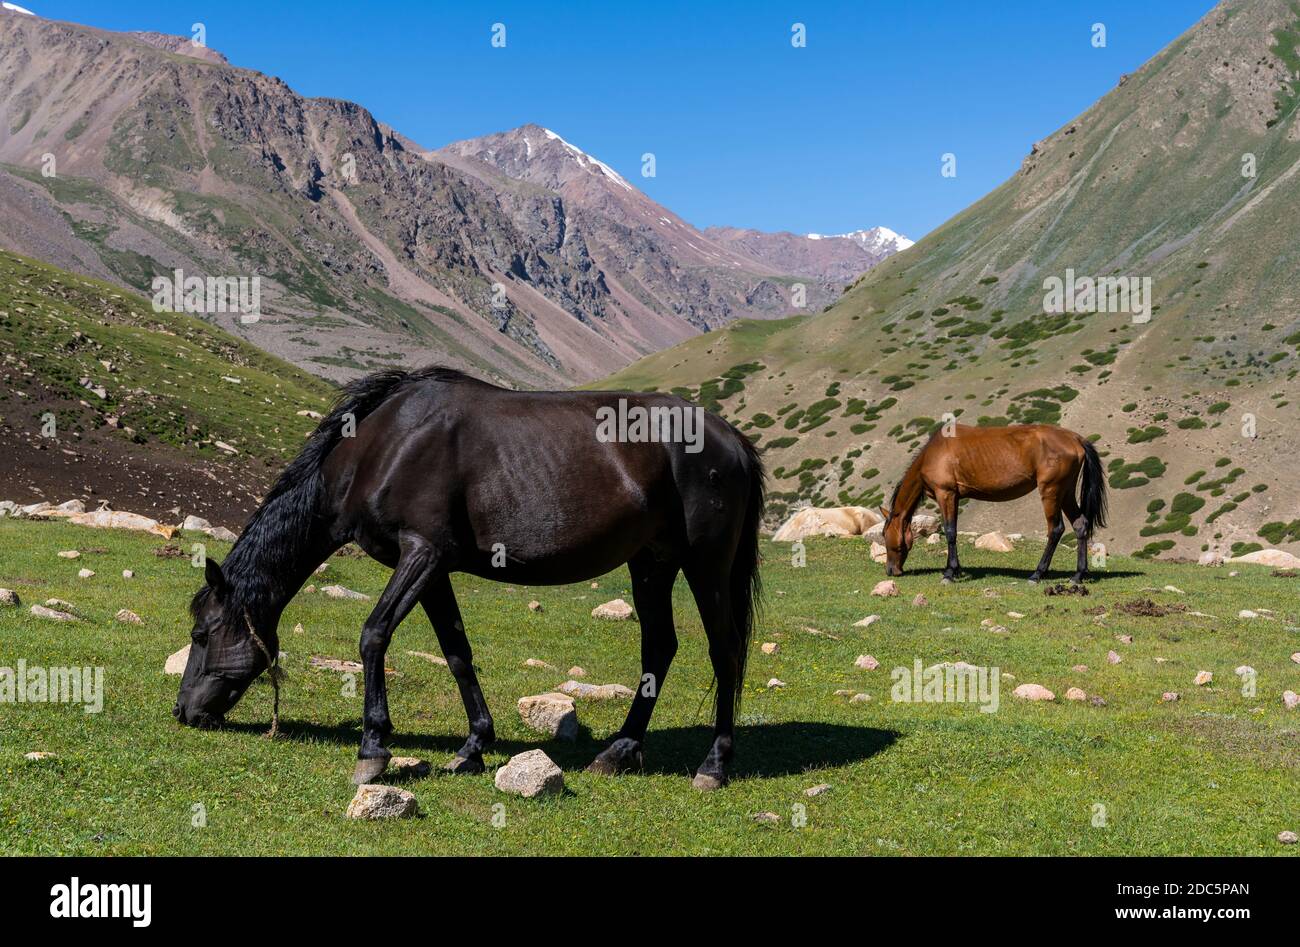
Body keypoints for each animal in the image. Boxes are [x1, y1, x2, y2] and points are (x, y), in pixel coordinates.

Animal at [173, 366, 765, 791]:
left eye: (202, 634)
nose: (183, 712)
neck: (383, 446)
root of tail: (731, 437)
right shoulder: (433, 568)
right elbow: (457, 653)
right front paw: (474, 747)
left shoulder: (422, 554)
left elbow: (374, 635)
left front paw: (373, 748)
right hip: (652, 564)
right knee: (660, 648)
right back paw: (618, 752)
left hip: (707, 566)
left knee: (725, 652)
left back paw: (713, 766)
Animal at [880, 423, 1107, 584]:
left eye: (885, 536)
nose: (891, 570)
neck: (934, 452)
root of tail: (1075, 439)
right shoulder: (954, 497)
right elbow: (953, 531)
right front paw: (956, 570)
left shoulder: (946, 494)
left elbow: (950, 532)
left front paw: (949, 573)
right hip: (1066, 492)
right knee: (1080, 525)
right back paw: (1078, 575)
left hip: (1051, 491)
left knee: (1056, 529)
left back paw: (1037, 574)